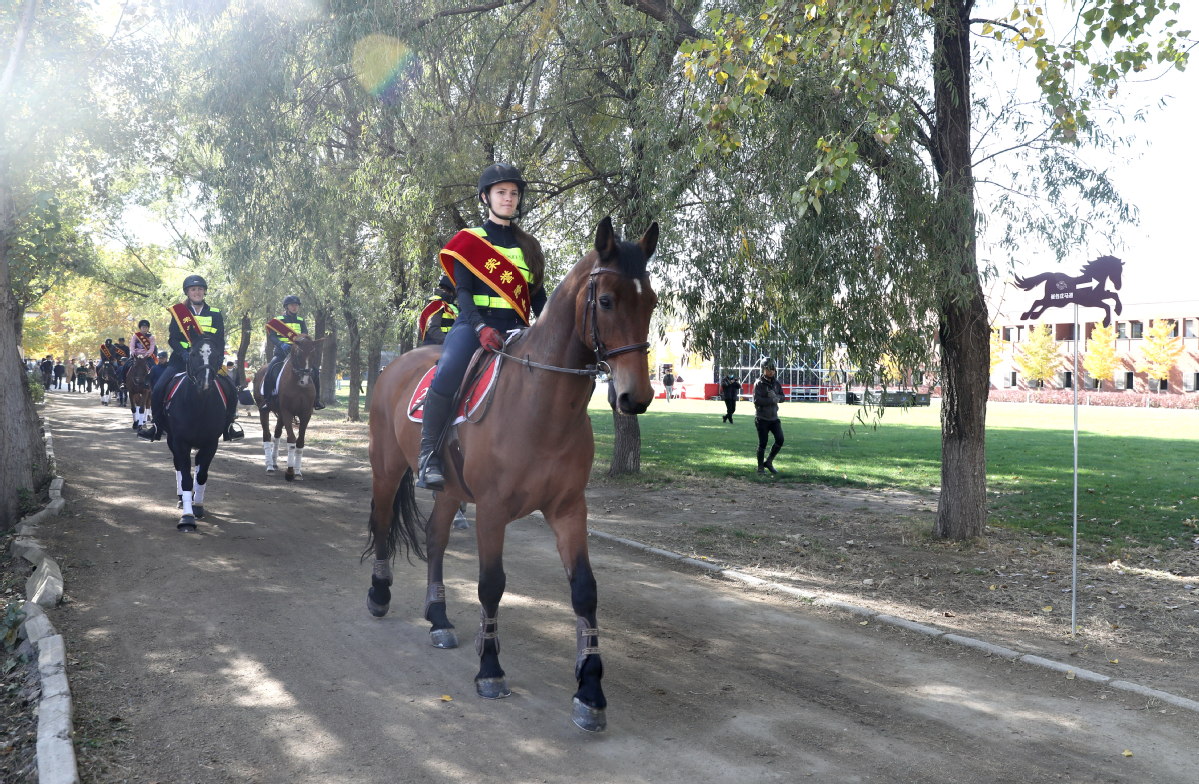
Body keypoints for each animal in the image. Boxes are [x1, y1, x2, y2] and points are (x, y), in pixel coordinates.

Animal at [163, 336, 231, 532]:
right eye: (192, 354)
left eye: (216, 355)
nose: (205, 383)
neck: (199, 405)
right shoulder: (180, 443)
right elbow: (186, 477)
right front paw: (187, 517)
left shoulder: (211, 443)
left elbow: (201, 475)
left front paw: (198, 506)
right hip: (172, 441)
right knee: (178, 466)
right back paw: (181, 500)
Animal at [251, 334, 322, 481]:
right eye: (299, 353)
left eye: (313, 353)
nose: (304, 380)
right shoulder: (287, 412)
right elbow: (291, 439)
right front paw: (289, 472)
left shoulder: (306, 414)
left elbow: (300, 441)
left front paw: (298, 471)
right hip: (264, 411)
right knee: (267, 435)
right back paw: (269, 466)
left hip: (280, 415)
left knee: (277, 433)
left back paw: (274, 462)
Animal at [362, 217, 658, 732]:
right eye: (606, 301)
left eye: (653, 301)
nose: (634, 397)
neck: (541, 406)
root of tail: (394, 366)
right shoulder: (492, 510)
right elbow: (491, 584)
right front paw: (490, 669)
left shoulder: (568, 509)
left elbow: (585, 591)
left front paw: (590, 691)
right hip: (387, 466)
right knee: (382, 523)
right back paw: (379, 595)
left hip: (449, 490)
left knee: (436, 537)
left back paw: (439, 618)